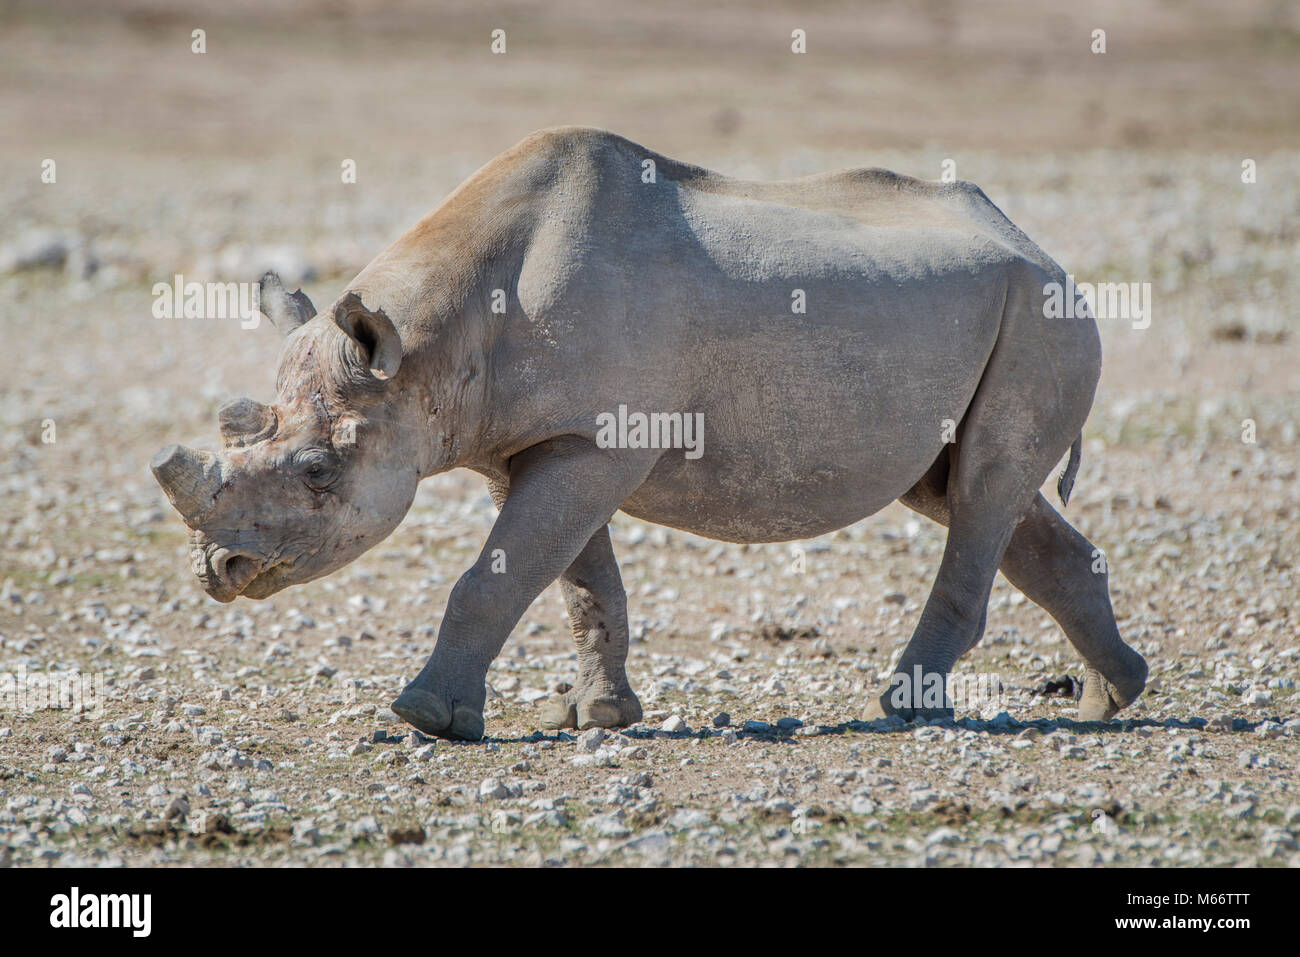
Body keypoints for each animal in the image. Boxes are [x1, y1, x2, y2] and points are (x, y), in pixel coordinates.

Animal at [151, 127, 1148, 740]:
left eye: (320, 471)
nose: (218, 571)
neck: (425, 354)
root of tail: (1042, 246)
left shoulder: (596, 443)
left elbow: (493, 580)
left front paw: (428, 718)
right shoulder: (540, 443)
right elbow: (577, 584)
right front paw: (597, 718)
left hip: (1042, 313)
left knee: (983, 488)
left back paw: (905, 709)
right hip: (1007, 310)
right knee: (969, 493)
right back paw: (1114, 697)